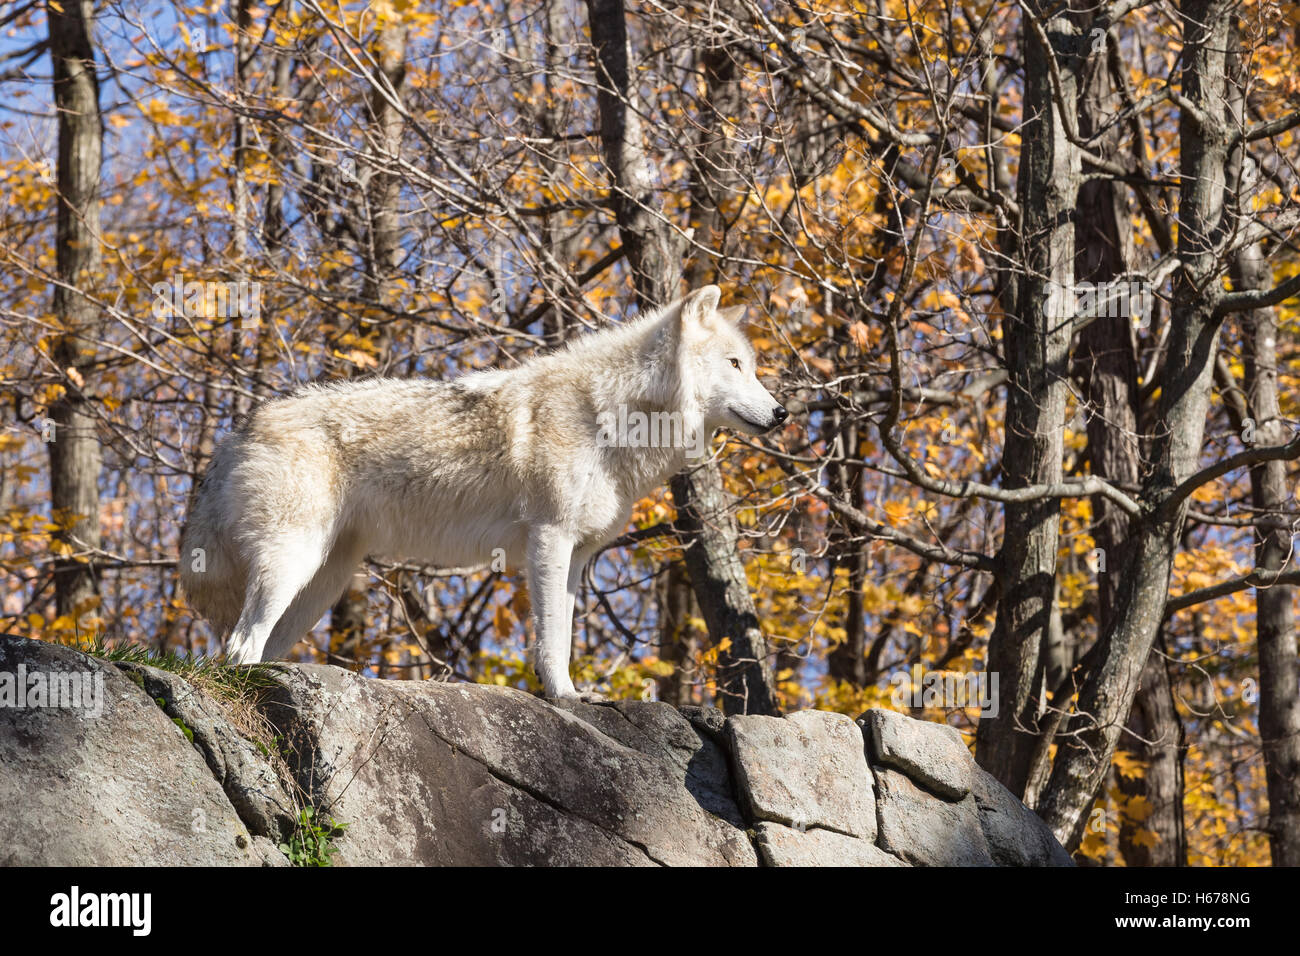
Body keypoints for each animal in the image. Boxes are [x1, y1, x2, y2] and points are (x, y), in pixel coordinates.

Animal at [180, 285, 787, 700]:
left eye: (752, 367)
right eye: (736, 365)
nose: (782, 413)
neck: (610, 415)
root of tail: (241, 429)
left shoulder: (576, 556)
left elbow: (564, 633)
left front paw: (572, 693)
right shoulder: (548, 541)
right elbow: (552, 637)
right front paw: (565, 697)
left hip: (321, 584)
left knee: (250, 646)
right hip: (293, 562)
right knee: (238, 646)